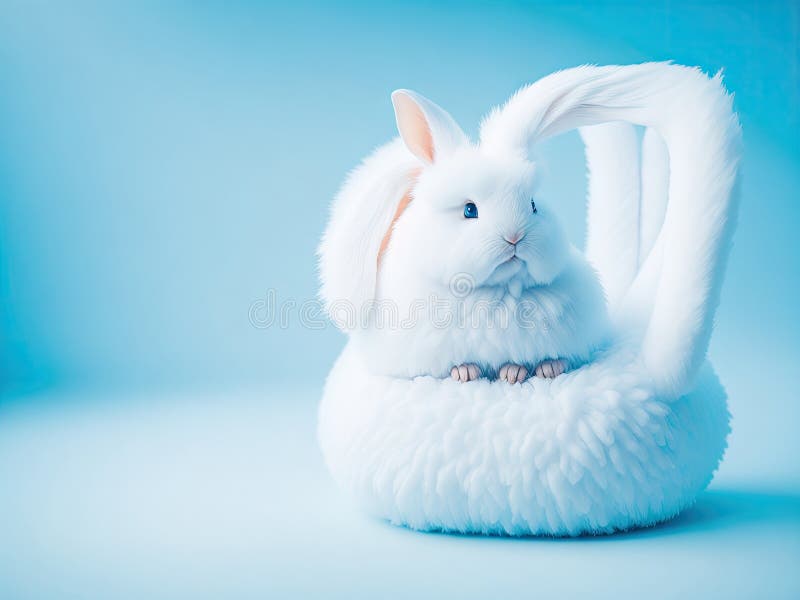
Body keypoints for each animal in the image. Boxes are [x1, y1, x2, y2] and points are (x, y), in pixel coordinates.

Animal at [319, 88, 609, 384]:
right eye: (470, 210)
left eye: (533, 205)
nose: (515, 237)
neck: (499, 290)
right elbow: (454, 365)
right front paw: (466, 372)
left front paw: (530, 370)